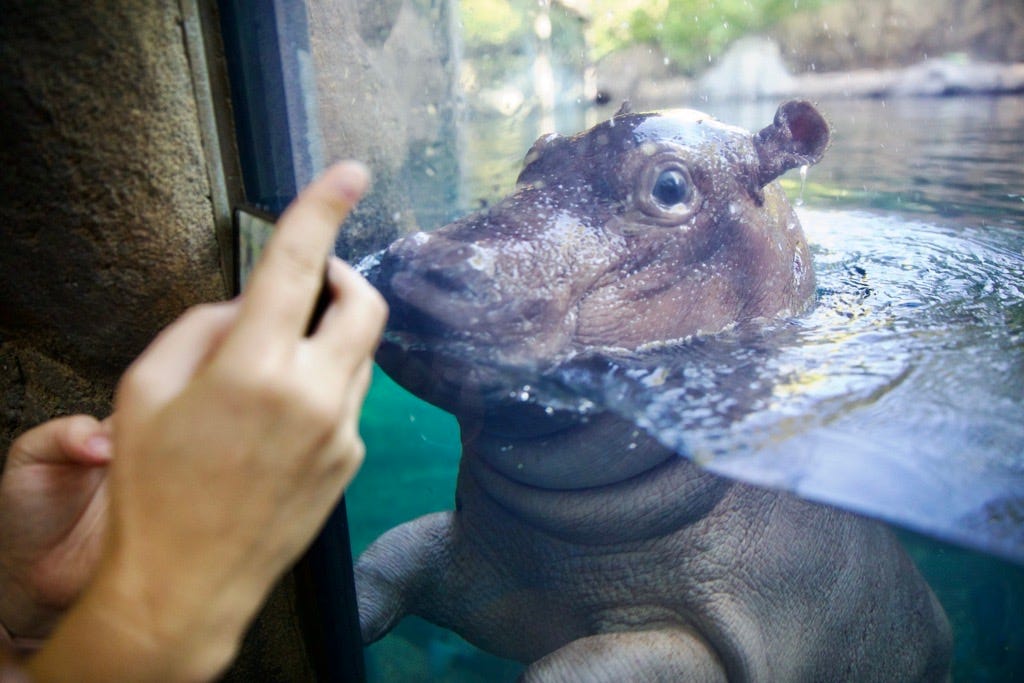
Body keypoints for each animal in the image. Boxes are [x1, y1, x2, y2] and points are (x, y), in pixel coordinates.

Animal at [355, 101, 952, 681]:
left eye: (669, 186)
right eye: (535, 152)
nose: (421, 257)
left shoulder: (693, 642)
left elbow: (558, 671)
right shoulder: (475, 557)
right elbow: (383, 561)